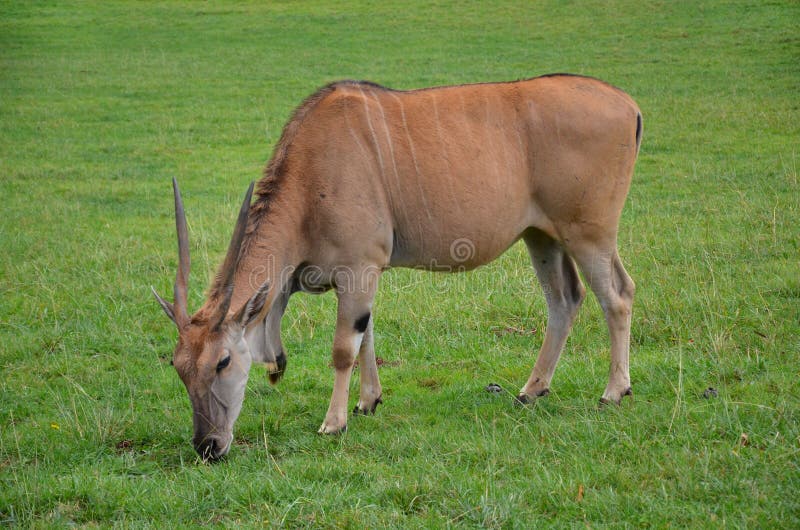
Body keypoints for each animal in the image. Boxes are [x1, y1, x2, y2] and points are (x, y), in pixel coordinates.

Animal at [153, 74, 642, 461]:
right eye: (178, 366)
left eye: (223, 361)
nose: (207, 446)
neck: (311, 176)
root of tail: (628, 104)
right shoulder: (362, 277)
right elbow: (366, 335)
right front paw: (367, 403)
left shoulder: (358, 269)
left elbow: (344, 348)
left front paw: (333, 423)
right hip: (542, 236)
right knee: (565, 299)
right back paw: (532, 390)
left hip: (590, 233)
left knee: (617, 295)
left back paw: (613, 393)